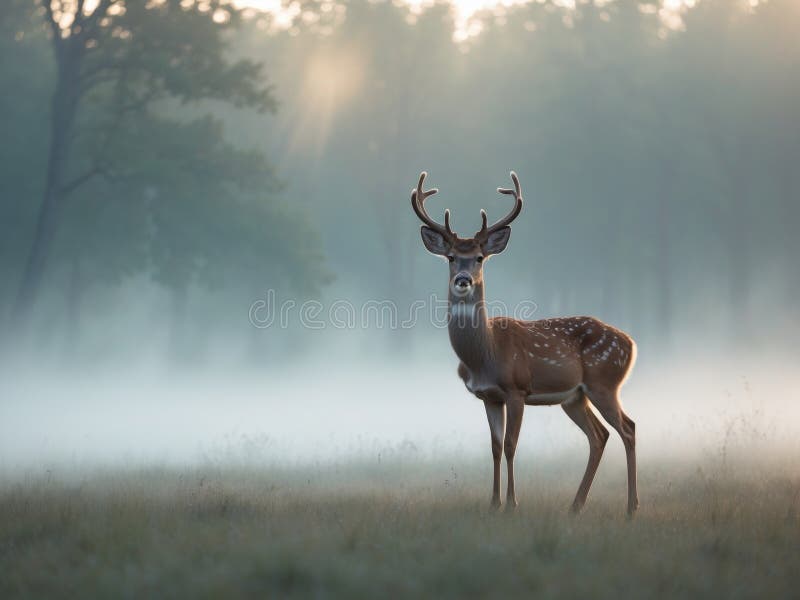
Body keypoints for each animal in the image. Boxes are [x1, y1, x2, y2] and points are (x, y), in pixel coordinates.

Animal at [411, 171, 639, 516]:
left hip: (604, 382)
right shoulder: (489, 397)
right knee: (599, 435)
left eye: (479, 257)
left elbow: (510, 445)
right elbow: (493, 446)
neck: (484, 356)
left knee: (628, 428)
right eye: (451, 257)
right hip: (575, 396)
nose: (463, 280)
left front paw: (512, 503)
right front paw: (493, 503)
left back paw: (630, 508)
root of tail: (631, 343)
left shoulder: (516, 389)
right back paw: (575, 505)